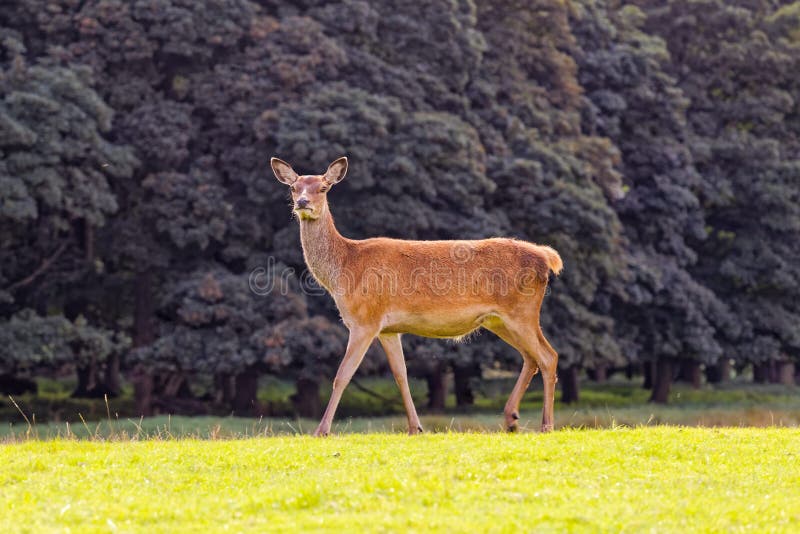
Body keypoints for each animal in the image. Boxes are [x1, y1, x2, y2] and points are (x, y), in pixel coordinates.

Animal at [271, 156, 563, 436]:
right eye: (294, 187)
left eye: (323, 187)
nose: (302, 202)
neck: (345, 268)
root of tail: (546, 256)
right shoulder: (388, 329)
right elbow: (401, 375)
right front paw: (415, 427)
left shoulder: (365, 320)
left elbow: (342, 375)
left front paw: (321, 431)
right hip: (498, 320)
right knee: (531, 358)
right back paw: (511, 418)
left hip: (522, 311)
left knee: (548, 356)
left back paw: (546, 425)